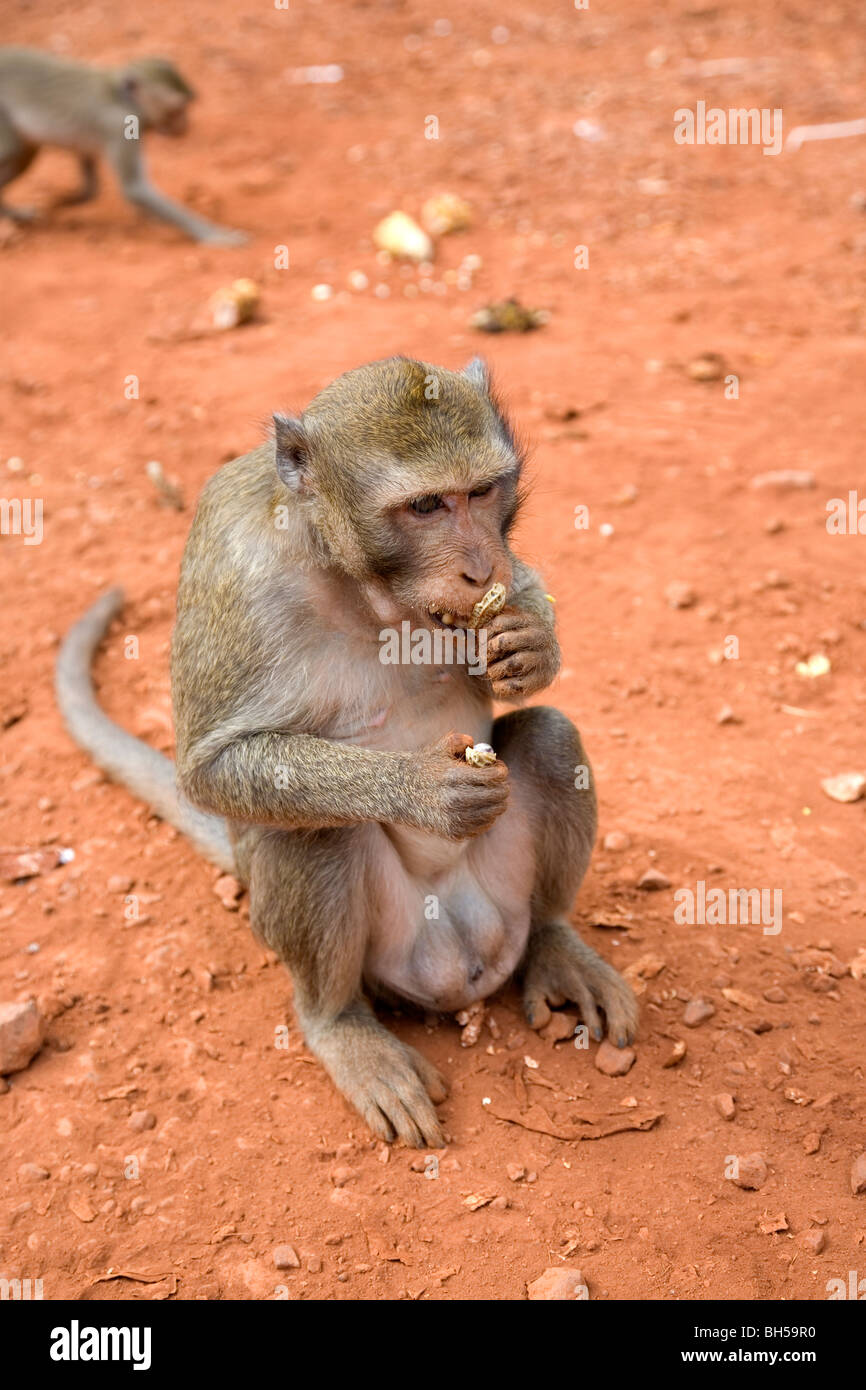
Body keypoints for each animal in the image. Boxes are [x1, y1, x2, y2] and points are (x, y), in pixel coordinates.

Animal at [0, 47, 245, 244]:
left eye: (186, 106)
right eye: (177, 109)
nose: (186, 125)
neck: (122, 98)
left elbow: (89, 169)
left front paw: (75, 198)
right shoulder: (119, 124)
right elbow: (135, 188)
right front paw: (213, 234)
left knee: (24, 156)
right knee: (13, 150)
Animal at [56, 357, 638, 1148]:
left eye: (481, 492)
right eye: (425, 506)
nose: (479, 567)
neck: (351, 576)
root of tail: (461, 963)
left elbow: (520, 621)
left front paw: (532, 643)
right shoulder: (233, 558)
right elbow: (211, 767)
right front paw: (424, 790)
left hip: (496, 908)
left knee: (550, 739)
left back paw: (554, 942)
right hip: (385, 952)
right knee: (311, 833)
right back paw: (340, 1027)